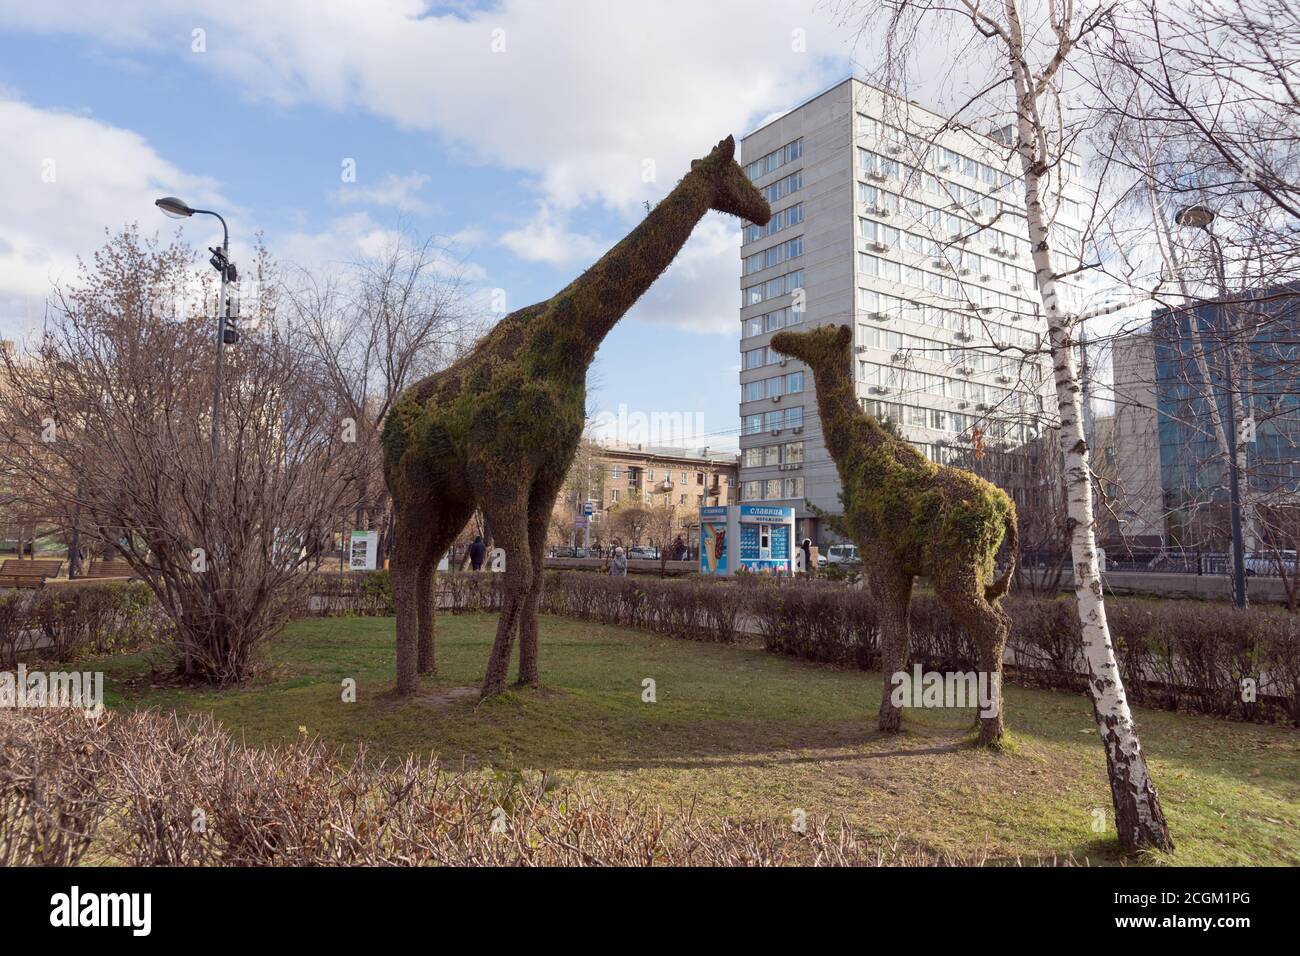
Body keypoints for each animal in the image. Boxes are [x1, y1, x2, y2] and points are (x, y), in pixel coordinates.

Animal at [382, 135, 771, 699]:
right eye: (736, 175)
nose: (765, 210)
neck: (568, 346)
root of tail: (386, 427)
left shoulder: (547, 473)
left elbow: (536, 576)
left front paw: (527, 680)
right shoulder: (503, 470)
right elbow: (519, 572)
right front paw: (491, 687)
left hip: (451, 497)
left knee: (427, 566)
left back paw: (429, 669)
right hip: (412, 489)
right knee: (405, 564)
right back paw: (408, 684)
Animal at [769, 324, 1019, 746]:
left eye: (816, 333)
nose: (779, 339)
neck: (857, 458)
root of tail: (1006, 512)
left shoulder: (881, 557)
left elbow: (894, 637)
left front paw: (888, 718)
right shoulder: (901, 567)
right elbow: (902, 637)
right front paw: (894, 715)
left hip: (954, 567)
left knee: (993, 626)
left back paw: (990, 732)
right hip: (981, 568)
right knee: (997, 622)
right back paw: (980, 722)